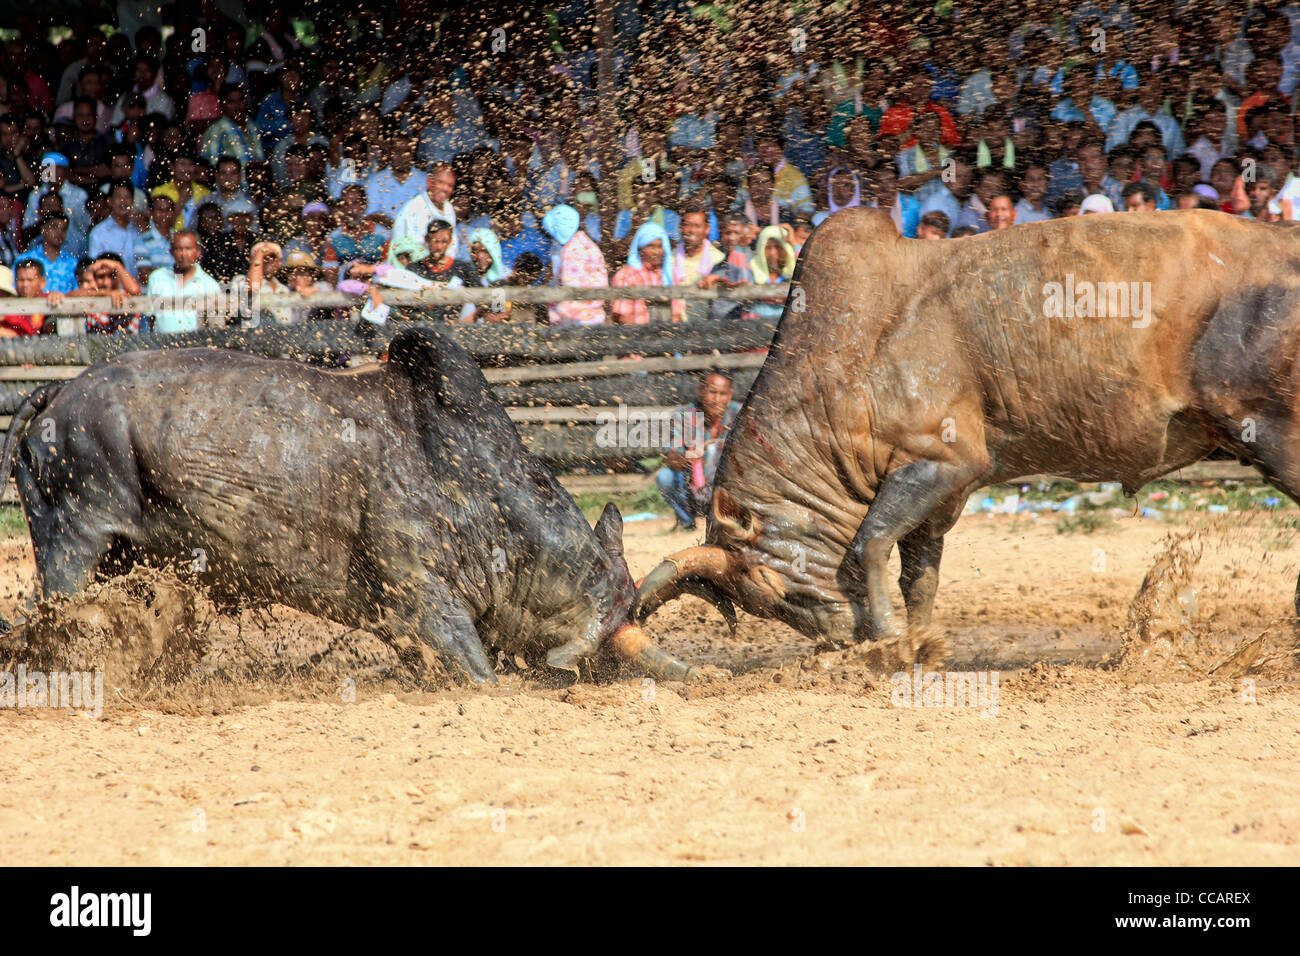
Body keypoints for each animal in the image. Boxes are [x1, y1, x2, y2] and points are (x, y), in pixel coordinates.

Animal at [635, 208, 1300, 651]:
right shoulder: (939, 496)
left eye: (775, 590)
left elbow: (872, 539)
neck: (847, 357)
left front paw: (888, 641)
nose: (840, 640)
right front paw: (918, 644)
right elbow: (918, 576)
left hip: (1275, 437)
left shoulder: (942, 461)